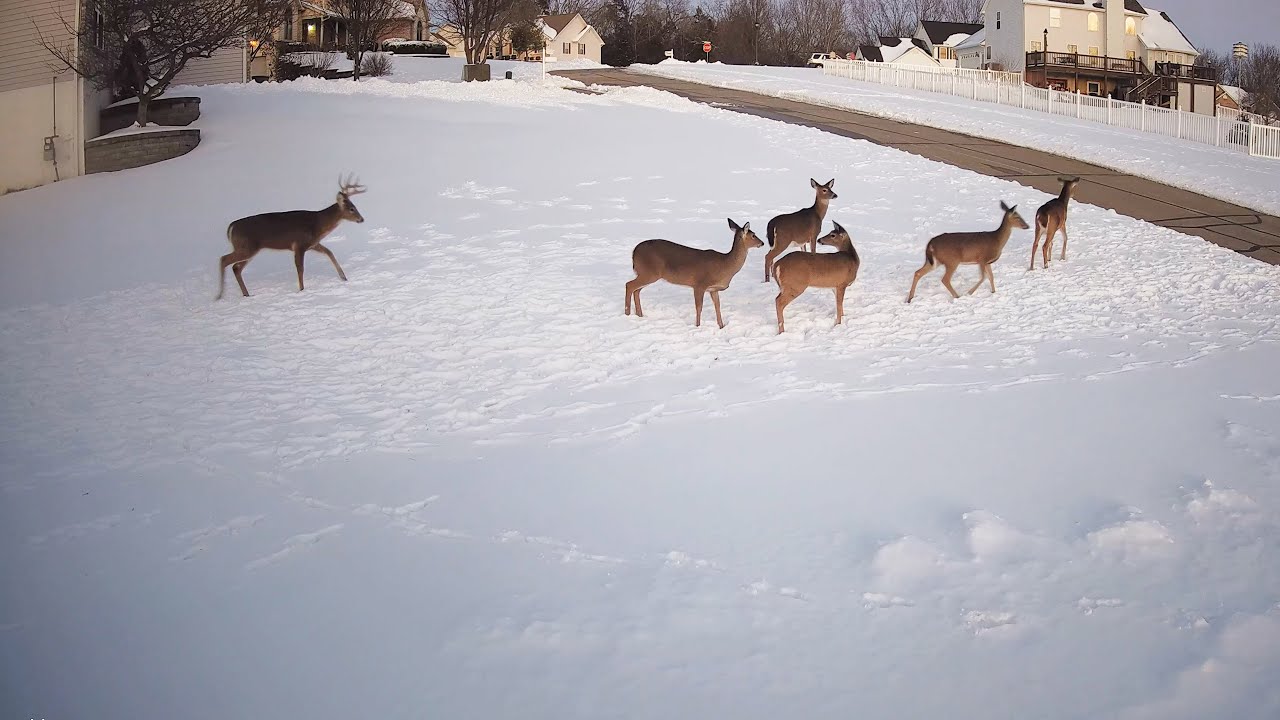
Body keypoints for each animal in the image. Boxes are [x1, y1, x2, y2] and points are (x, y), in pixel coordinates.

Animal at [216, 175, 366, 300]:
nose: (362, 219)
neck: (317, 225)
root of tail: (231, 227)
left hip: (249, 250)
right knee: (224, 259)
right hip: (247, 247)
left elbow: (329, 252)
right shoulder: (299, 245)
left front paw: (343, 277)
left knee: (236, 267)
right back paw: (220, 295)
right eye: (352, 209)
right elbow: (300, 268)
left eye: (355, 206)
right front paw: (302, 290)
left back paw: (246, 294)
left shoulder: (312, 244)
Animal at [624, 218, 765, 329]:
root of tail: (634, 252)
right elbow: (699, 307)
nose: (762, 243)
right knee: (629, 285)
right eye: (753, 235)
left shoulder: (713, 289)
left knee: (636, 290)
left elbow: (717, 306)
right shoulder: (699, 284)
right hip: (650, 272)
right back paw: (627, 314)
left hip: (646, 273)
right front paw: (698, 326)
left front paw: (721, 326)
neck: (724, 265)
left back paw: (640, 315)